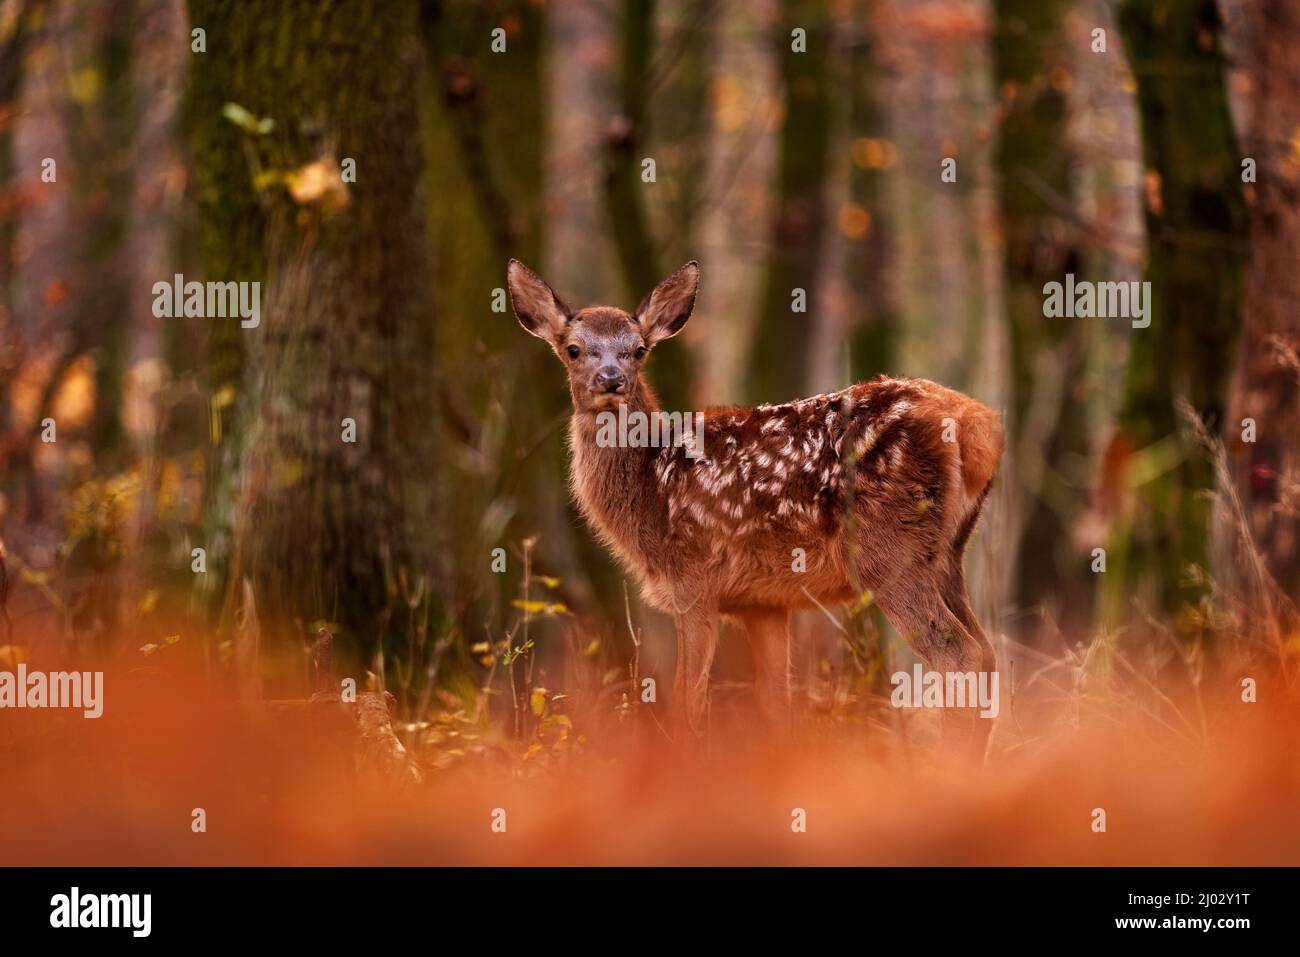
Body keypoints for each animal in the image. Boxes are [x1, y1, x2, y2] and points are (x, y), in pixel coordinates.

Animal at [507, 259, 1004, 761]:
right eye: (573, 349)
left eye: (638, 350)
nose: (611, 379)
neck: (651, 485)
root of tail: (975, 424)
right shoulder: (763, 603)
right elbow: (775, 704)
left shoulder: (693, 581)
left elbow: (689, 702)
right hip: (948, 554)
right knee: (987, 652)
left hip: (887, 550)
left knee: (958, 653)